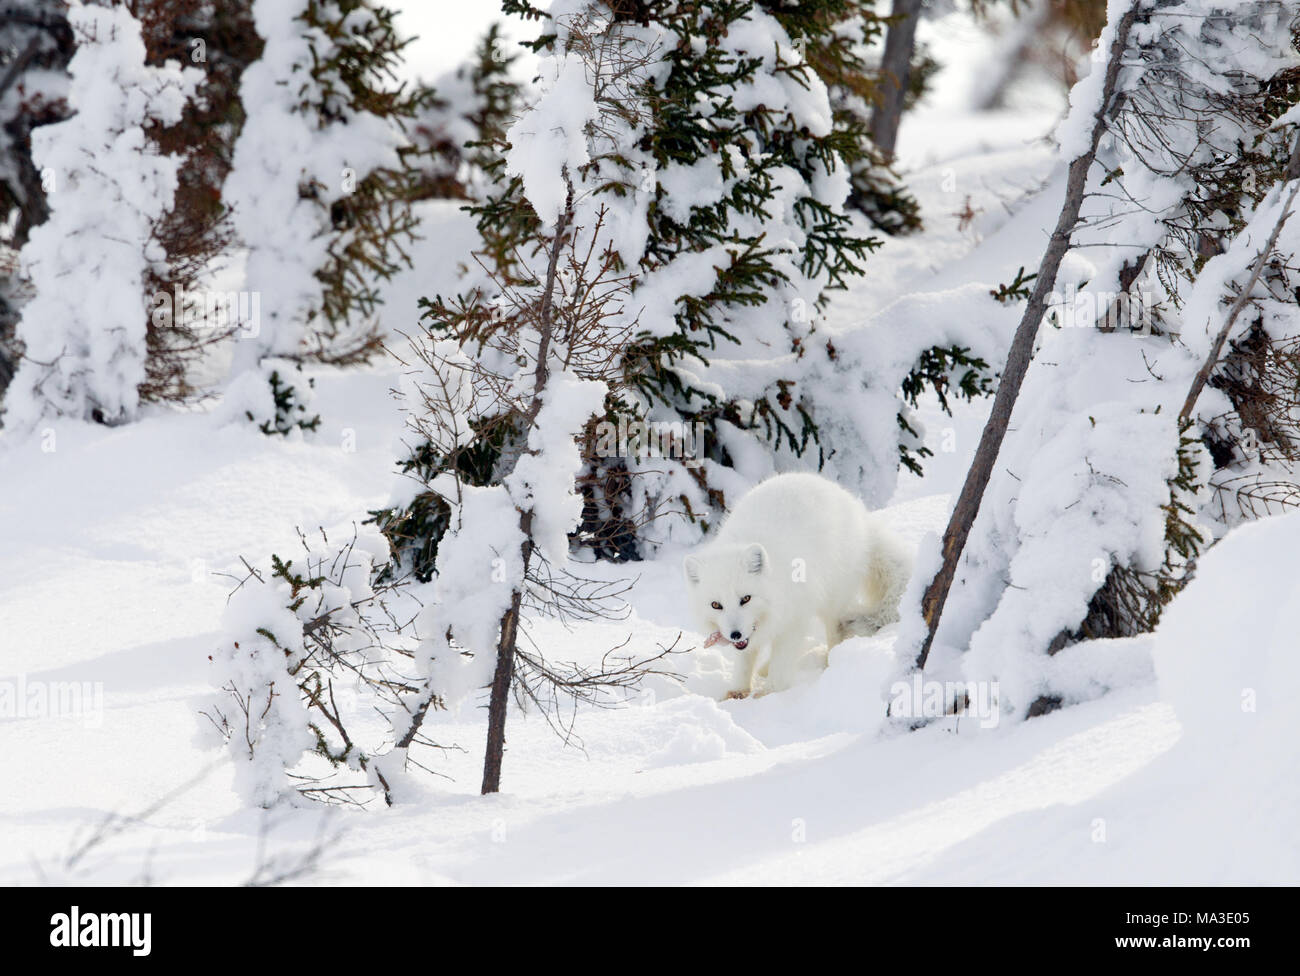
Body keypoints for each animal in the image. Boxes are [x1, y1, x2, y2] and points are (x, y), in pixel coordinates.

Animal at [683, 472, 912, 698]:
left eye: (746, 599)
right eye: (716, 605)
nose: (735, 634)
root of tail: (857, 510)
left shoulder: (794, 619)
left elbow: (782, 661)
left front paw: (770, 693)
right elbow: (745, 659)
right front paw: (738, 690)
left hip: (832, 597)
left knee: (835, 629)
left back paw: (831, 661)